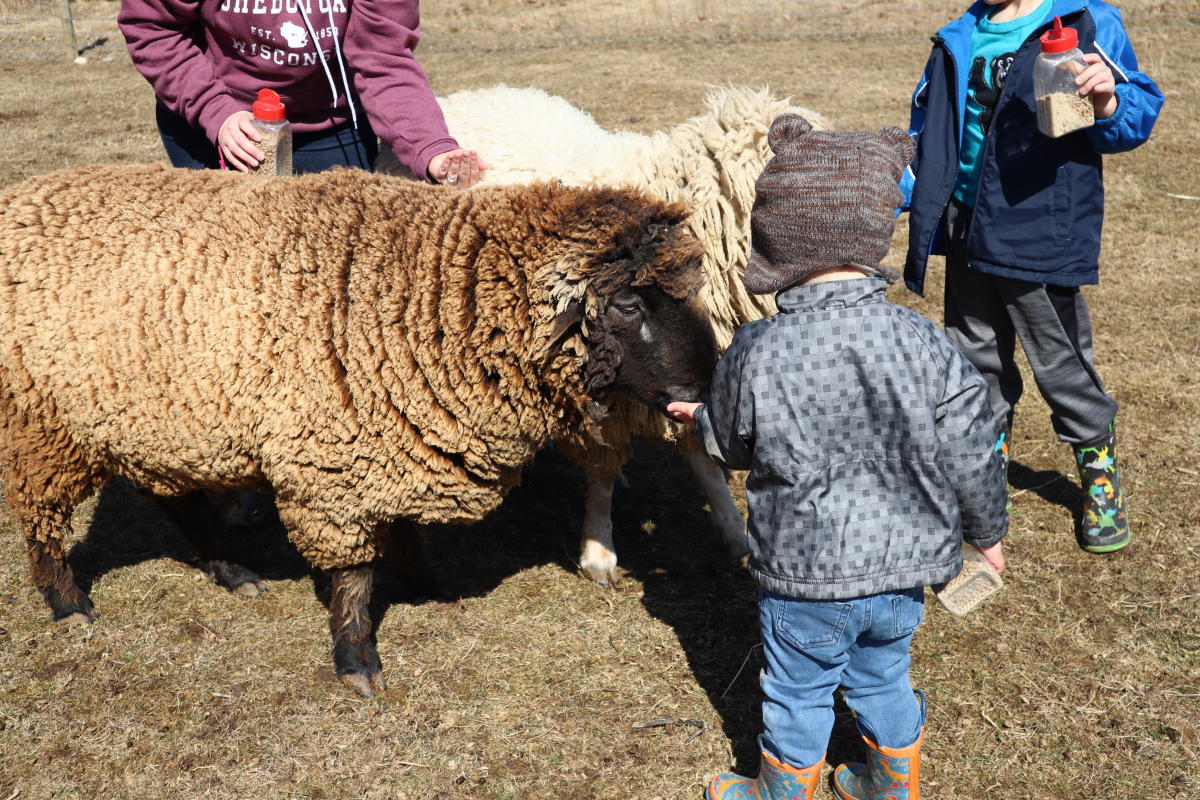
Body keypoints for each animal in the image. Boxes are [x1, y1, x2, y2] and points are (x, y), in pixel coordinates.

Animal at [0, 164, 717, 696]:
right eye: (628, 303)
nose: (703, 389)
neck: (431, 295)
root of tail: (20, 194)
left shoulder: (402, 438)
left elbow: (404, 531)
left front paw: (428, 587)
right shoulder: (331, 465)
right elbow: (353, 575)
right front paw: (356, 659)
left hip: (150, 416)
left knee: (173, 499)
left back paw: (232, 570)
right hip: (39, 423)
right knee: (40, 521)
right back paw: (68, 604)